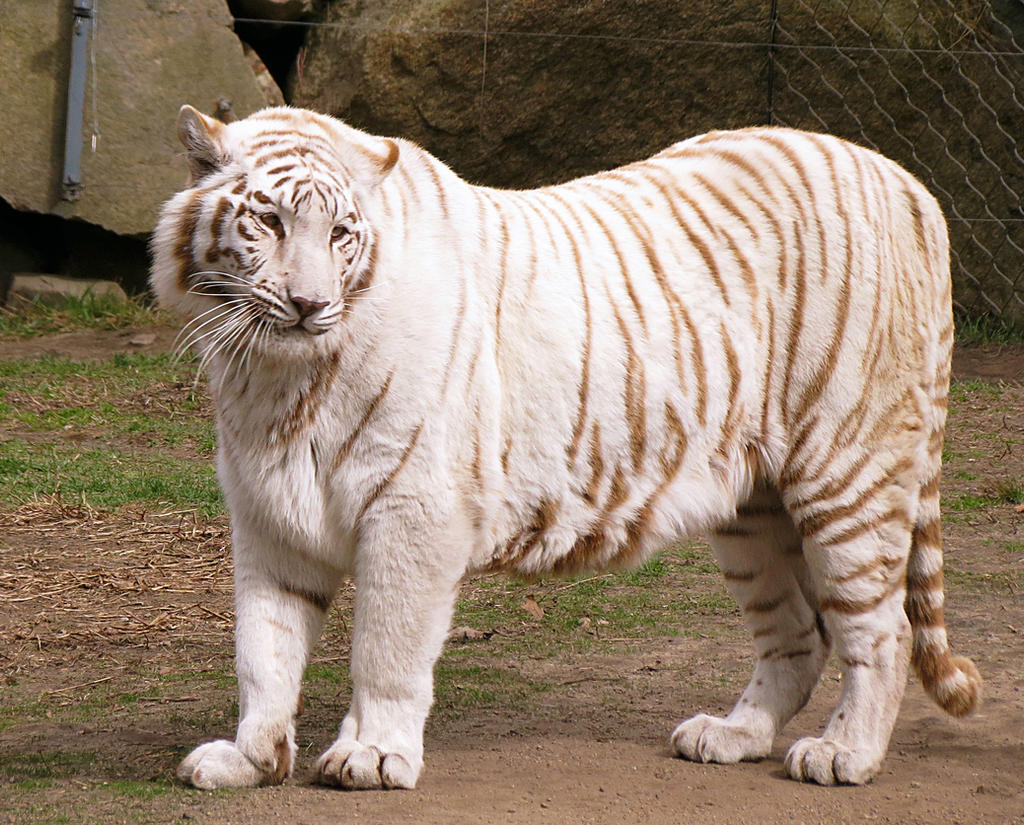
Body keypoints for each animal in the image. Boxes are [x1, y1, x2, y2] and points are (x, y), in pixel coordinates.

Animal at [150, 104, 980, 791]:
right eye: (268, 221)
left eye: (341, 233)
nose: (309, 304)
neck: (276, 377)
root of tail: (907, 183)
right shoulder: (268, 514)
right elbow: (263, 647)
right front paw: (250, 757)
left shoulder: (416, 508)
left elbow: (386, 646)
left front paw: (373, 753)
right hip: (754, 506)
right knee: (798, 635)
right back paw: (730, 734)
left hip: (848, 471)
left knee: (883, 630)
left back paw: (843, 753)